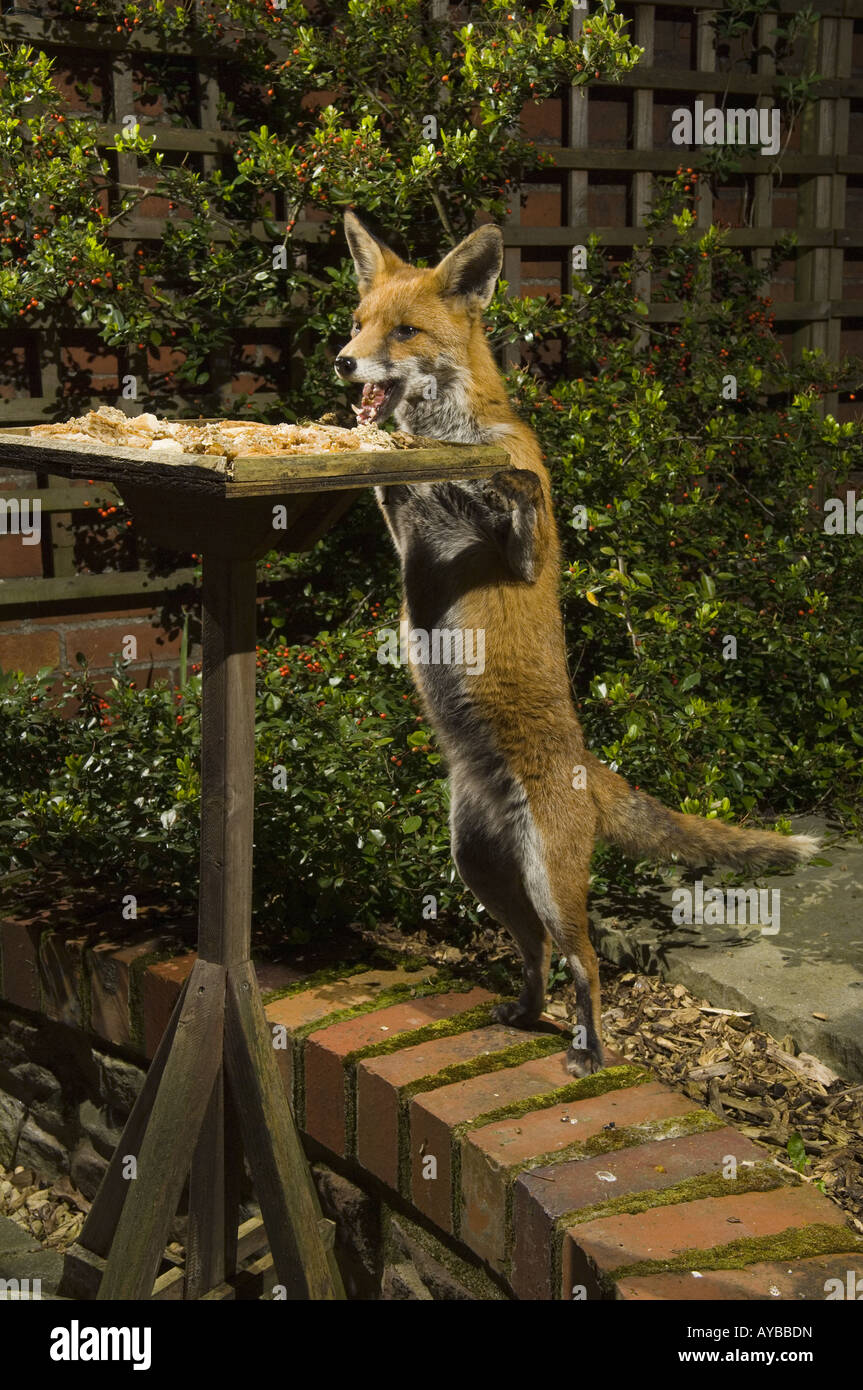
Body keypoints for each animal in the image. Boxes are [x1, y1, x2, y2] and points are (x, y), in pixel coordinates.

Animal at [335, 210, 818, 1076]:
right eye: (359, 323)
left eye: (404, 331)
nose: (341, 361)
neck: (445, 444)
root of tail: (589, 767)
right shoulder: (400, 521)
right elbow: (389, 479)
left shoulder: (527, 550)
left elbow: (522, 486)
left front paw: (495, 475)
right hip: (482, 871)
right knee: (532, 954)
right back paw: (527, 1016)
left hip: (551, 885)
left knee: (584, 962)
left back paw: (588, 1051)